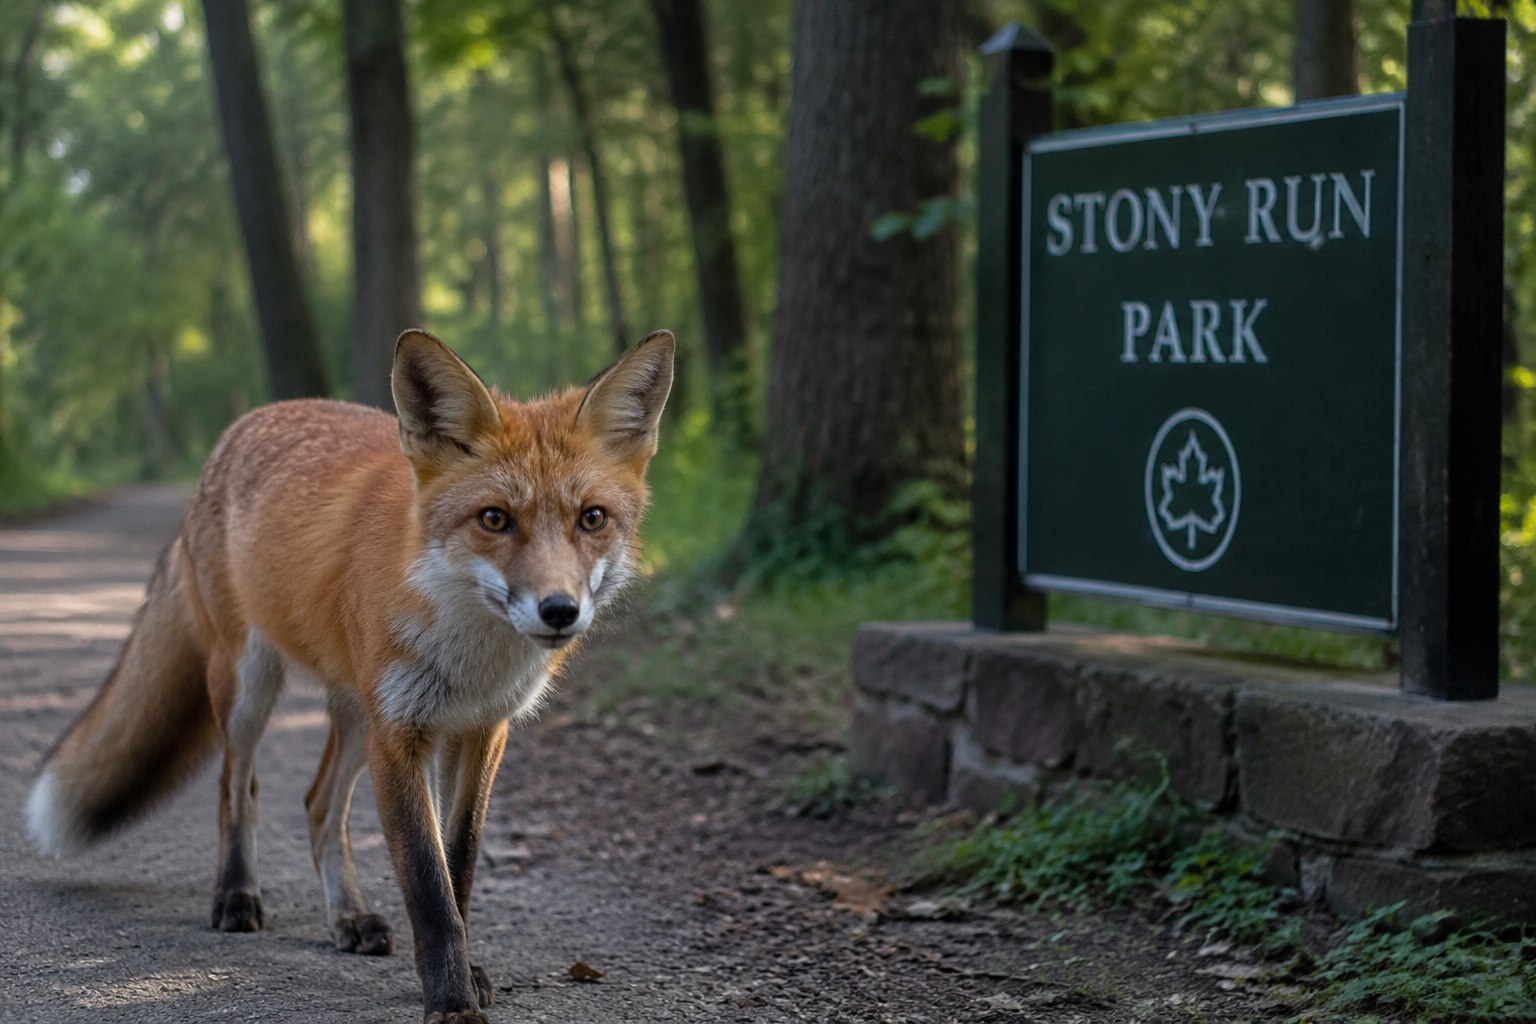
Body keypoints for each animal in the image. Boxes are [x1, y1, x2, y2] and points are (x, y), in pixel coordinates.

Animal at [26, 328, 675, 1023]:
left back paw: (349, 918)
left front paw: (460, 975)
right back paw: (236, 896)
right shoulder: (401, 734)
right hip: (250, 686)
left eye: (592, 518)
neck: (471, 650)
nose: (560, 611)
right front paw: (450, 999)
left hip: (356, 716)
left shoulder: (478, 730)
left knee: (317, 805)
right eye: (494, 519)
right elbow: (427, 884)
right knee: (238, 787)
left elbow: (459, 866)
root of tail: (247, 423)